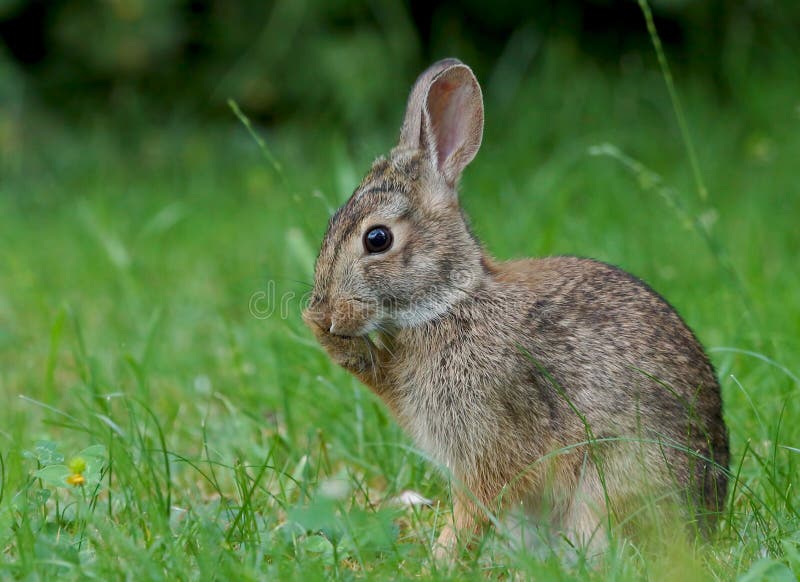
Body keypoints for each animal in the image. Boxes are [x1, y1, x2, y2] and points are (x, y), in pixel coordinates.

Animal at [302, 58, 729, 556]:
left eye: (377, 239)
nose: (326, 312)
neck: (453, 302)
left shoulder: (491, 442)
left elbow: (477, 502)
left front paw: (442, 556)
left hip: (611, 483)